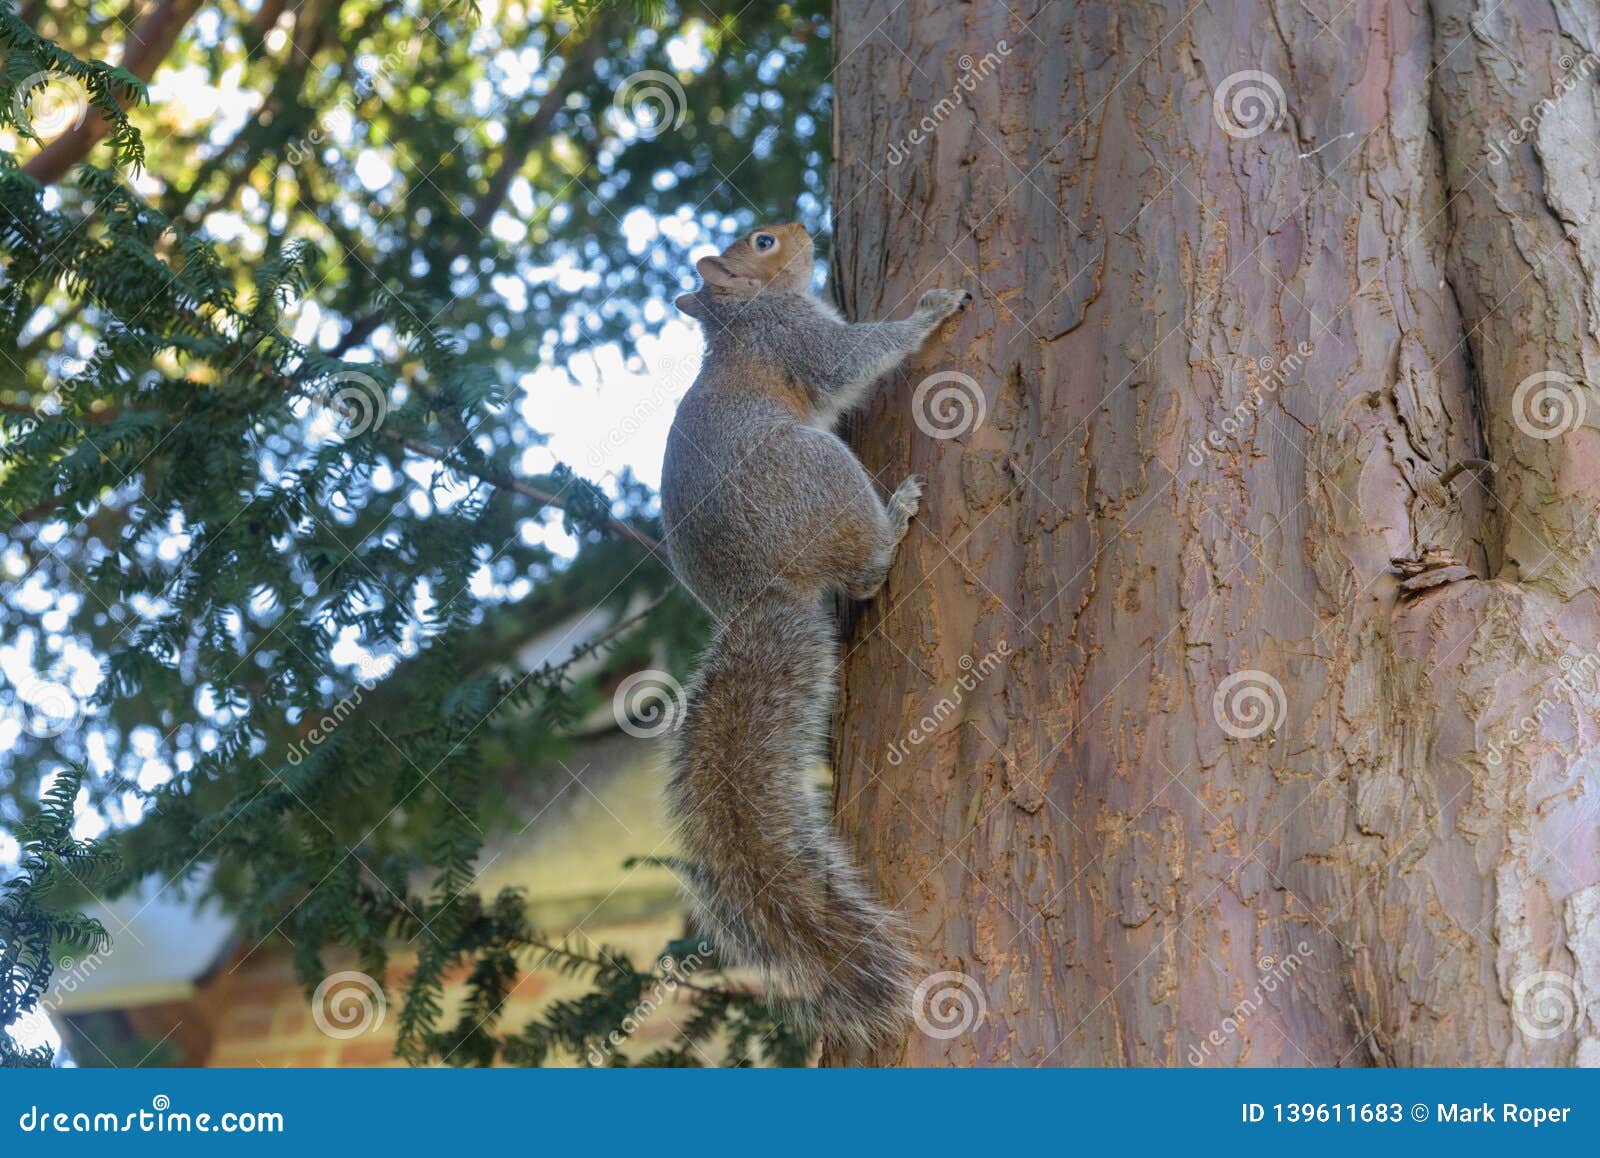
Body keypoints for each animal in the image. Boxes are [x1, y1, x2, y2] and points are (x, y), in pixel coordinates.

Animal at [659, 221, 970, 1049]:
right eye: (764, 242)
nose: (802, 229)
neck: (740, 318)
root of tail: (771, 592)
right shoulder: (796, 338)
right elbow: (854, 358)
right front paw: (929, 312)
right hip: (820, 473)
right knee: (862, 573)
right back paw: (893, 521)